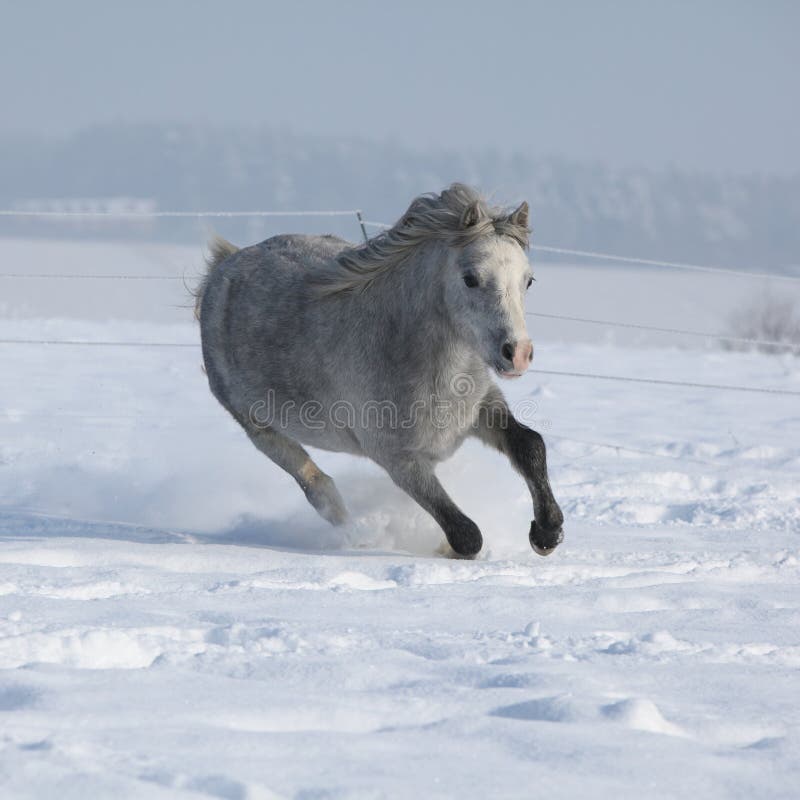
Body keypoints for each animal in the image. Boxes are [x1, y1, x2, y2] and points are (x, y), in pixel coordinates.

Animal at [194, 183, 564, 558]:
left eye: (528, 281)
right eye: (470, 278)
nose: (517, 354)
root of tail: (226, 264)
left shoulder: (482, 407)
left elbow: (530, 446)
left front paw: (547, 534)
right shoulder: (397, 459)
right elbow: (466, 533)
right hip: (261, 430)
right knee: (319, 488)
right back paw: (357, 538)